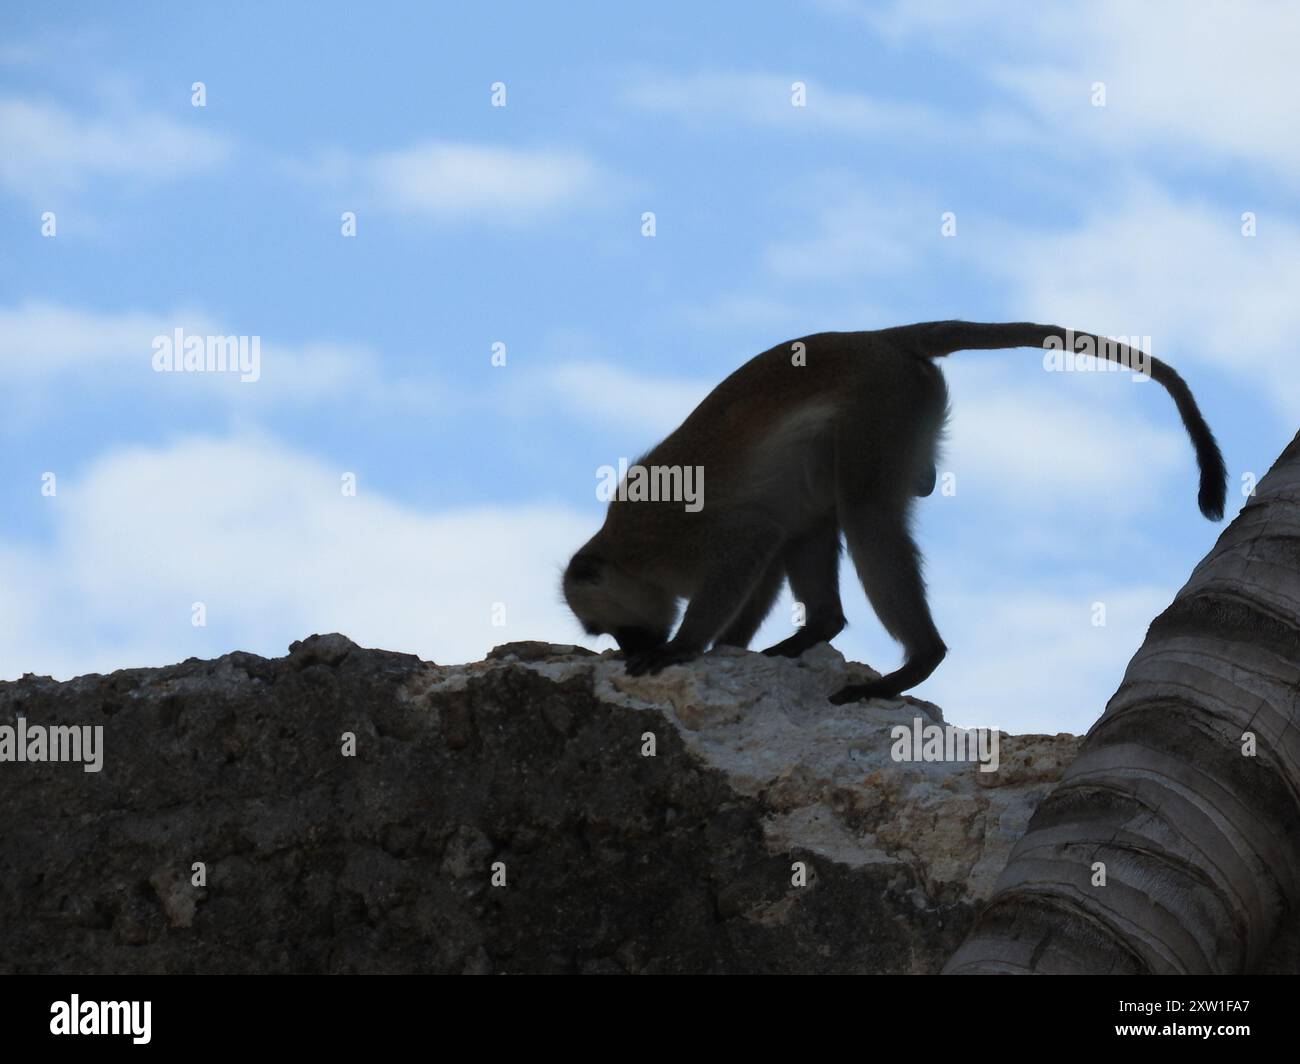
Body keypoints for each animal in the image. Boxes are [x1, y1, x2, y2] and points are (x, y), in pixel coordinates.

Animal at [562, 321, 1227, 704]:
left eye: (607, 627)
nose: (625, 644)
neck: (622, 545)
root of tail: (878, 338)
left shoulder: (671, 536)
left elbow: (752, 541)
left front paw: (681, 648)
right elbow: (774, 541)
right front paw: (728, 646)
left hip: (883, 403)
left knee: (862, 513)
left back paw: (919, 659)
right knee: (816, 515)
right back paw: (819, 628)